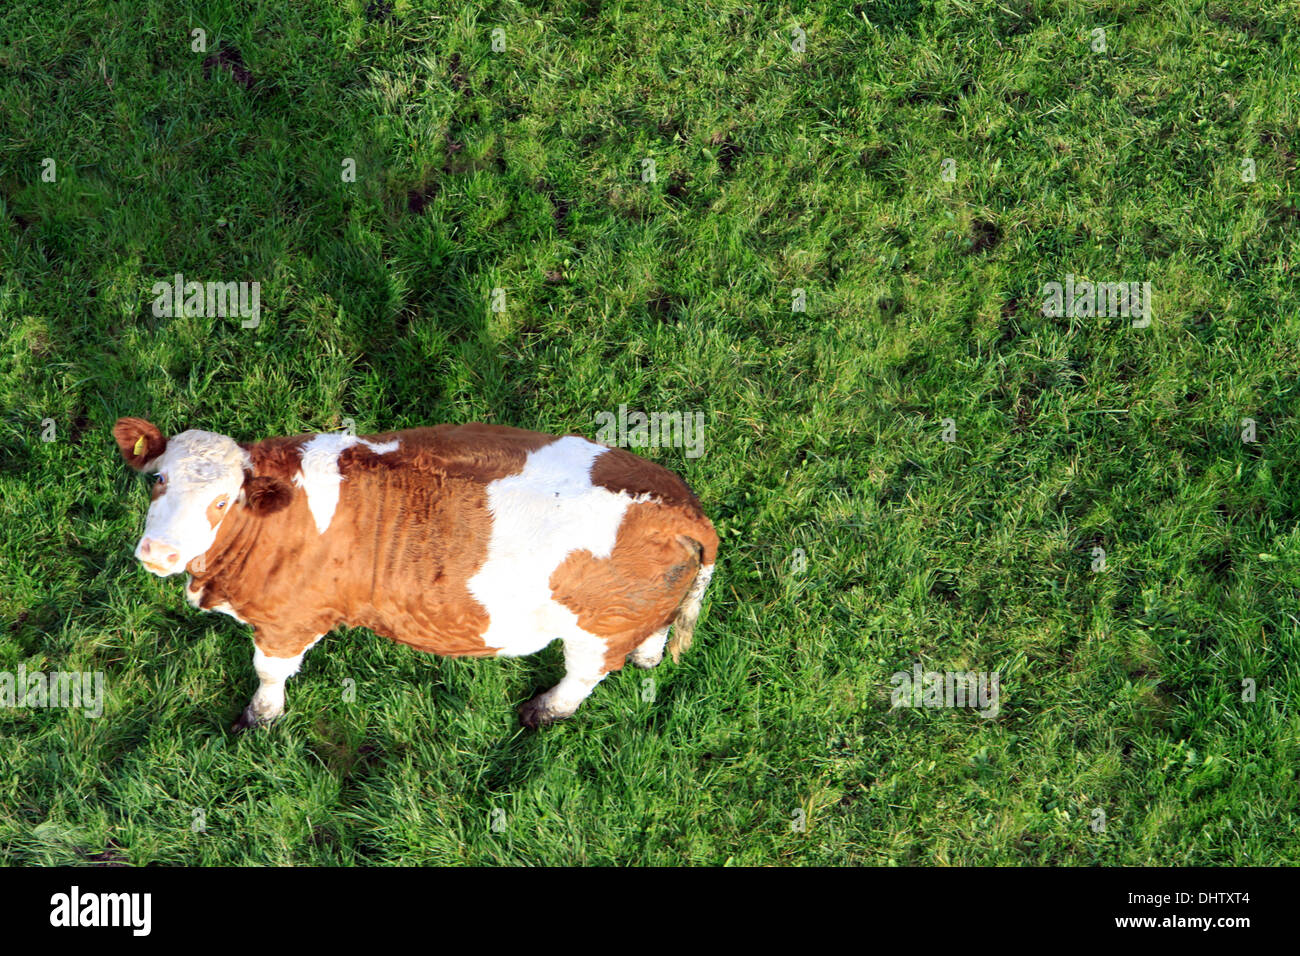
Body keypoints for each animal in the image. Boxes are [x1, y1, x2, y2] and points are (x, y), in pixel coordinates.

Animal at [111, 417, 718, 730]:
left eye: (222, 502)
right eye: (157, 479)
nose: (159, 552)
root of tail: (681, 508)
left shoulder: (288, 620)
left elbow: (269, 675)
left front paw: (260, 719)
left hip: (596, 628)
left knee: (584, 676)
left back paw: (544, 710)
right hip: (636, 612)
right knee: (652, 635)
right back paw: (647, 657)